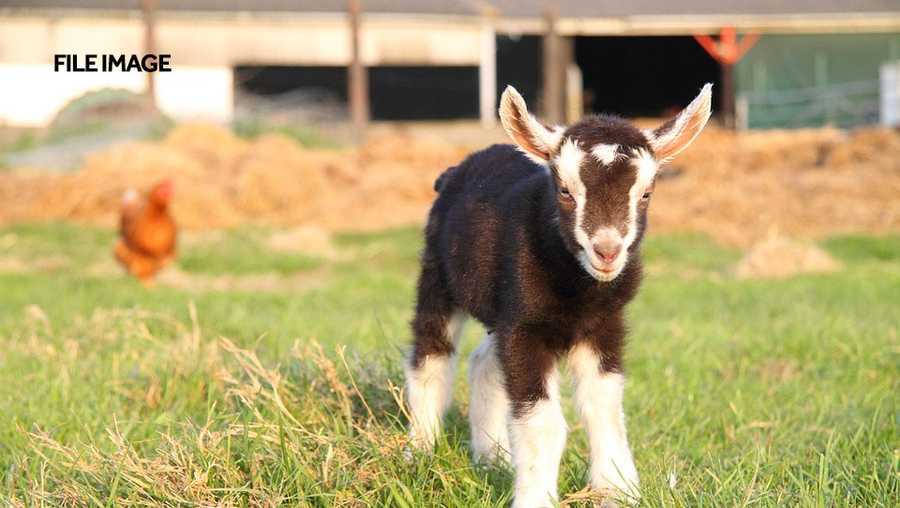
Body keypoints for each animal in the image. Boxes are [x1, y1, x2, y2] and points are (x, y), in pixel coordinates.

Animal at [405, 83, 712, 507]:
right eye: (565, 191)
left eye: (646, 193)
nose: (606, 250)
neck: (578, 293)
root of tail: (455, 171)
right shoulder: (525, 328)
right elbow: (543, 422)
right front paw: (536, 497)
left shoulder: (603, 326)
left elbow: (604, 407)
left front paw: (618, 490)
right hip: (438, 274)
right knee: (431, 355)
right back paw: (419, 451)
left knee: (483, 363)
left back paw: (490, 458)